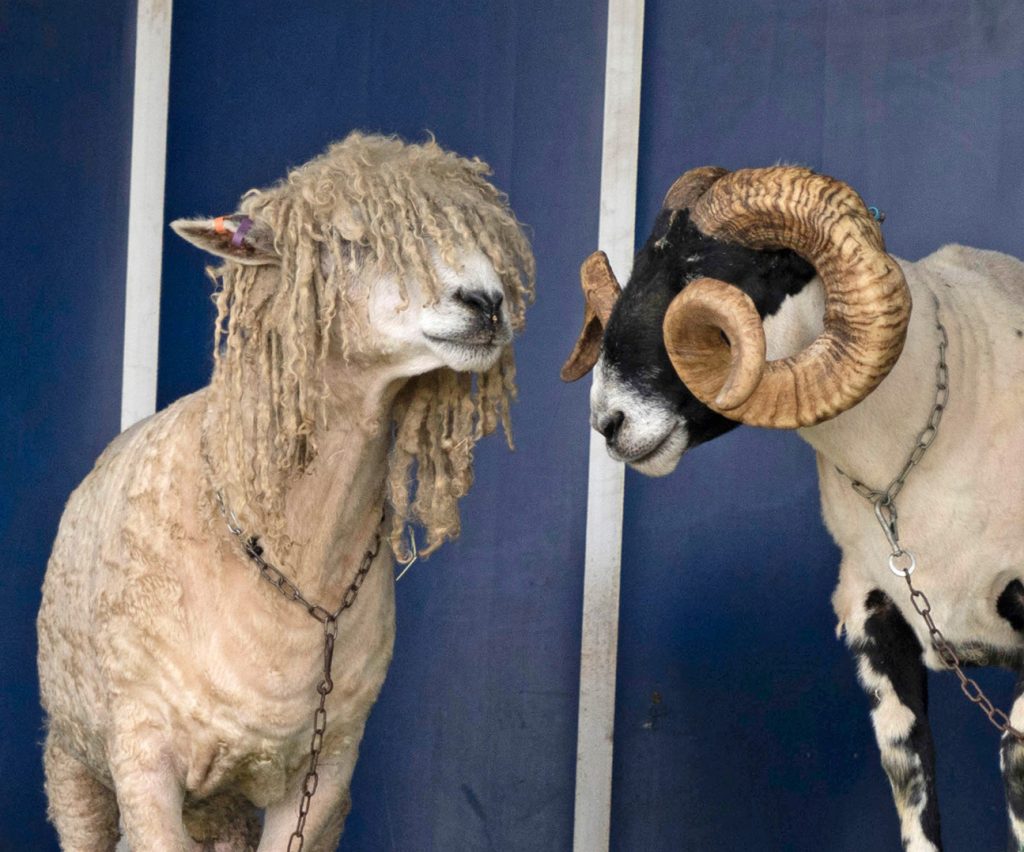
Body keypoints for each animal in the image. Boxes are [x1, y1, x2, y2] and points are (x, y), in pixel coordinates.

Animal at [37, 132, 534, 852]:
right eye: (353, 242)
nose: (486, 302)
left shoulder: (329, 765)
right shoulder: (142, 753)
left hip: (228, 806)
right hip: (74, 760)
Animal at [562, 165, 1024, 852]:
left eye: (705, 272)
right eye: (642, 265)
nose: (609, 423)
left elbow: (1015, 765)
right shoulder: (877, 628)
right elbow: (913, 784)